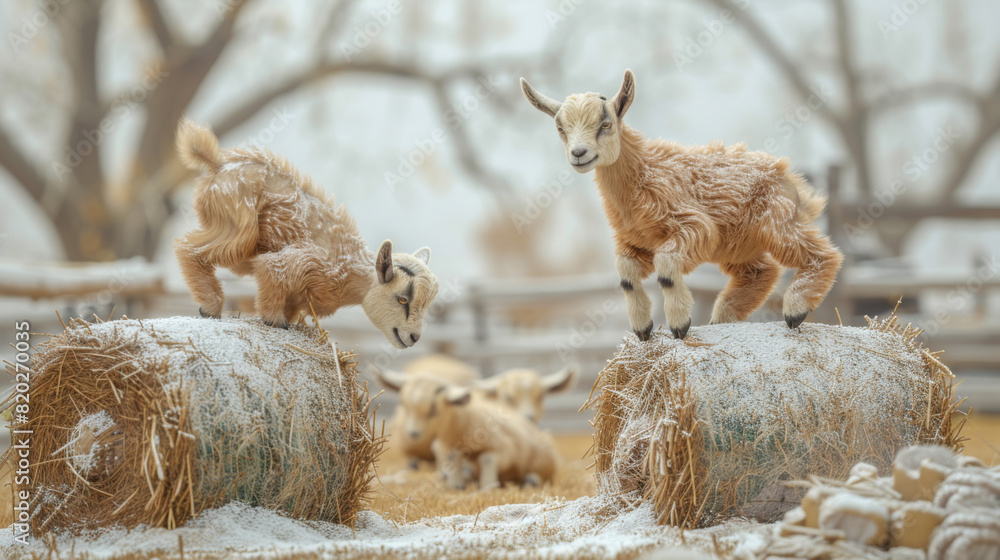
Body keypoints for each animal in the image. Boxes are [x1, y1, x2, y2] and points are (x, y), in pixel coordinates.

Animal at [174, 119, 438, 349]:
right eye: (402, 299)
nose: (414, 337)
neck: (347, 269)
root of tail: (218, 163)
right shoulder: (298, 261)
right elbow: (270, 271)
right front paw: (273, 320)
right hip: (237, 226)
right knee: (189, 248)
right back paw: (210, 307)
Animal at [520, 70, 843, 340]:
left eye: (606, 124)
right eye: (560, 128)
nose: (578, 153)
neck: (643, 171)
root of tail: (789, 176)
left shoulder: (691, 225)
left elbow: (665, 269)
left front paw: (679, 325)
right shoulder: (635, 241)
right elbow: (626, 275)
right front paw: (643, 329)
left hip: (776, 221)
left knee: (822, 254)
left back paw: (795, 310)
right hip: (738, 244)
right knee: (762, 271)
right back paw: (723, 317)